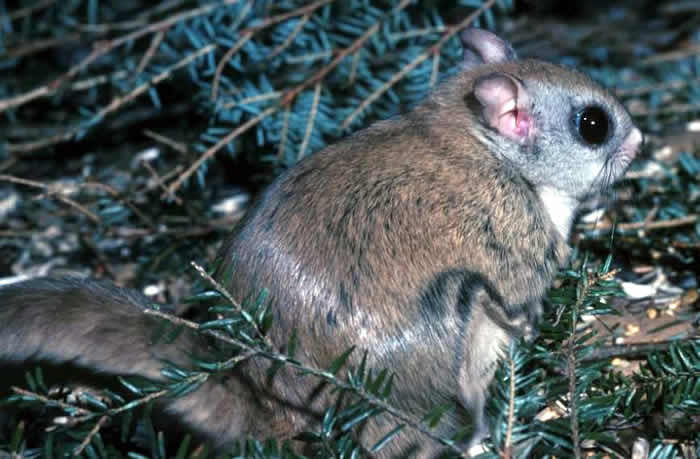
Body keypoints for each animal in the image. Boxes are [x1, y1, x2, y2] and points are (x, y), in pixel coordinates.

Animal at [0, 28, 642, 458]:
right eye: (593, 125)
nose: (639, 141)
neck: (489, 149)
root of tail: (266, 405)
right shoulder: (512, 238)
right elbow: (520, 299)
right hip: (437, 365)